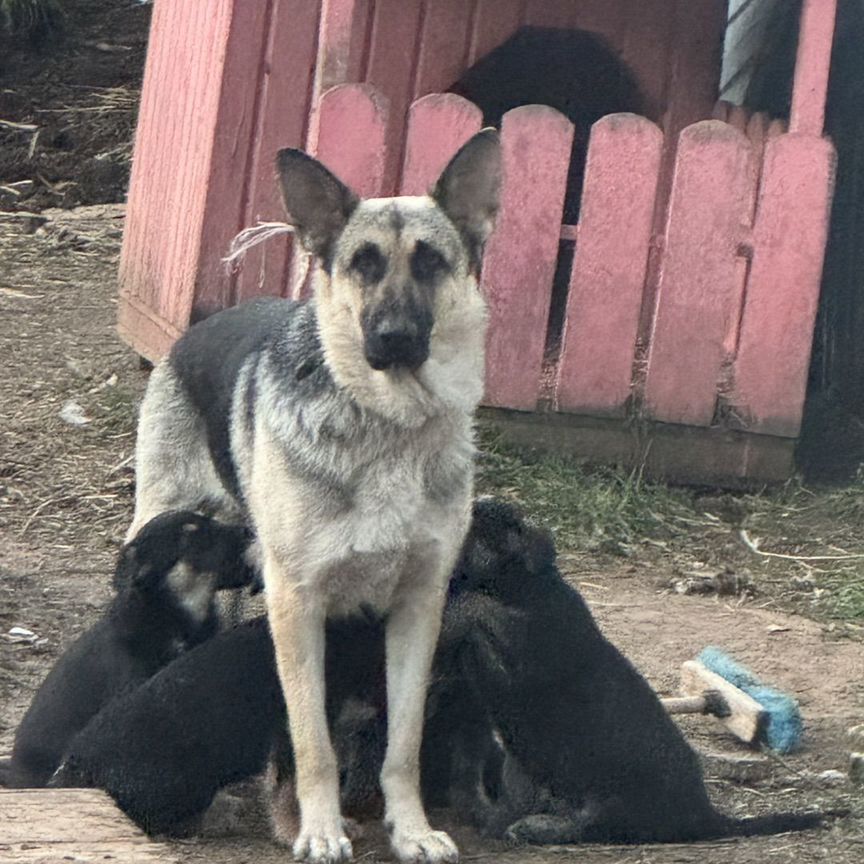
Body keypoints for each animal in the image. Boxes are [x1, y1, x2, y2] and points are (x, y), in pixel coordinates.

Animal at [125, 132, 502, 860]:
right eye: (362, 263)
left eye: (431, 262)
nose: (392, 338)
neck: (388, 423)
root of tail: (201, 321)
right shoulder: (298, 604)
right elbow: (313, 742)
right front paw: (319, 828)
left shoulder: (417, 608)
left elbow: (403, 742)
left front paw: (410, 828)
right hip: (161, 522)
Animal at [432, 500, 824, 844]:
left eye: (490, 525)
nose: (477, 501)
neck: (527, 588)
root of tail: (707, 816)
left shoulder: (516, 657)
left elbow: (476, 612)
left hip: (610, 798)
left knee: (592, 826)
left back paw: (531, 828)